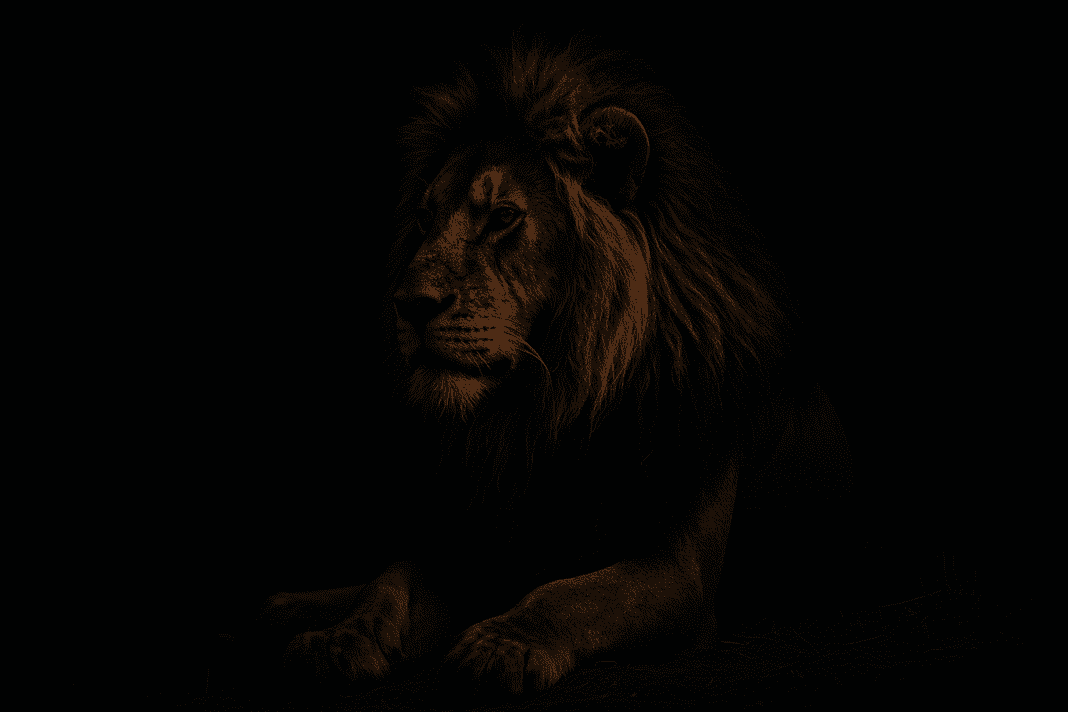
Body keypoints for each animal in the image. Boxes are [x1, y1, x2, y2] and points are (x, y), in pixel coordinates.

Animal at [253, 37, 852, 698]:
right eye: (425, 219)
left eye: (502, 217)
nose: (408, 303)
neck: (547, 409)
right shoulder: (477, 533)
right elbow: (396, 578)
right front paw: (340, 640)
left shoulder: (679, 566)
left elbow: (574, 596)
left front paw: (502, 645)